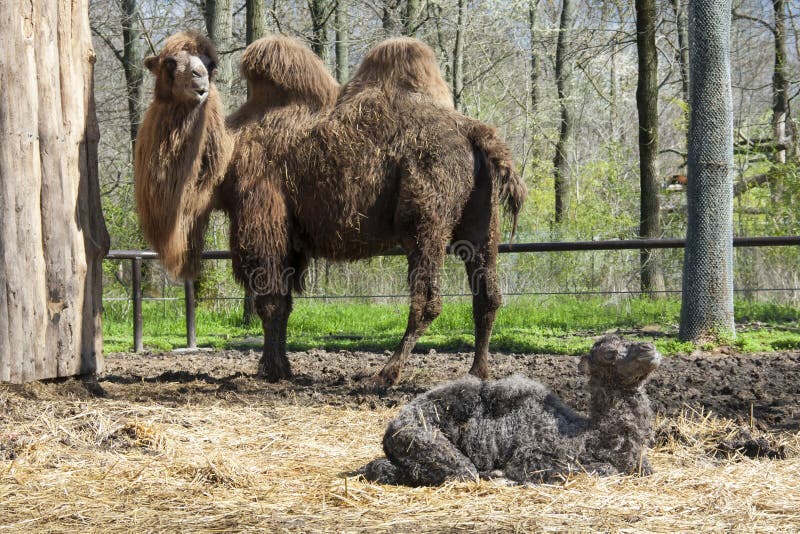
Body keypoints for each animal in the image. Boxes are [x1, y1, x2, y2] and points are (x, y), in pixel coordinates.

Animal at [135, 32, 527, 386]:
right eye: (170, 62)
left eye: (209, 63)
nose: (199, 80)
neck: (230, 153)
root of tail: (476, 132)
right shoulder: (289, 233)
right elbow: (284, 303)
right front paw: (279, 366)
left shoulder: (260, 214)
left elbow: (269, 301)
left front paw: (272, 370)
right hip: (481, 222)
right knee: (488, 296)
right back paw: (478, 374)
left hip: (425, 219)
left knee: (428, 299)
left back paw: (385, 375)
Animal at [359, 336, 661, 485]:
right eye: (609, 353)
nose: (649, 349)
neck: (589, 434)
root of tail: (391, 427)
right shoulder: (533, 456)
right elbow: (599, 469)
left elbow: (643, 468)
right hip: (423, 439)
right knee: (461, 472)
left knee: (378, 466)